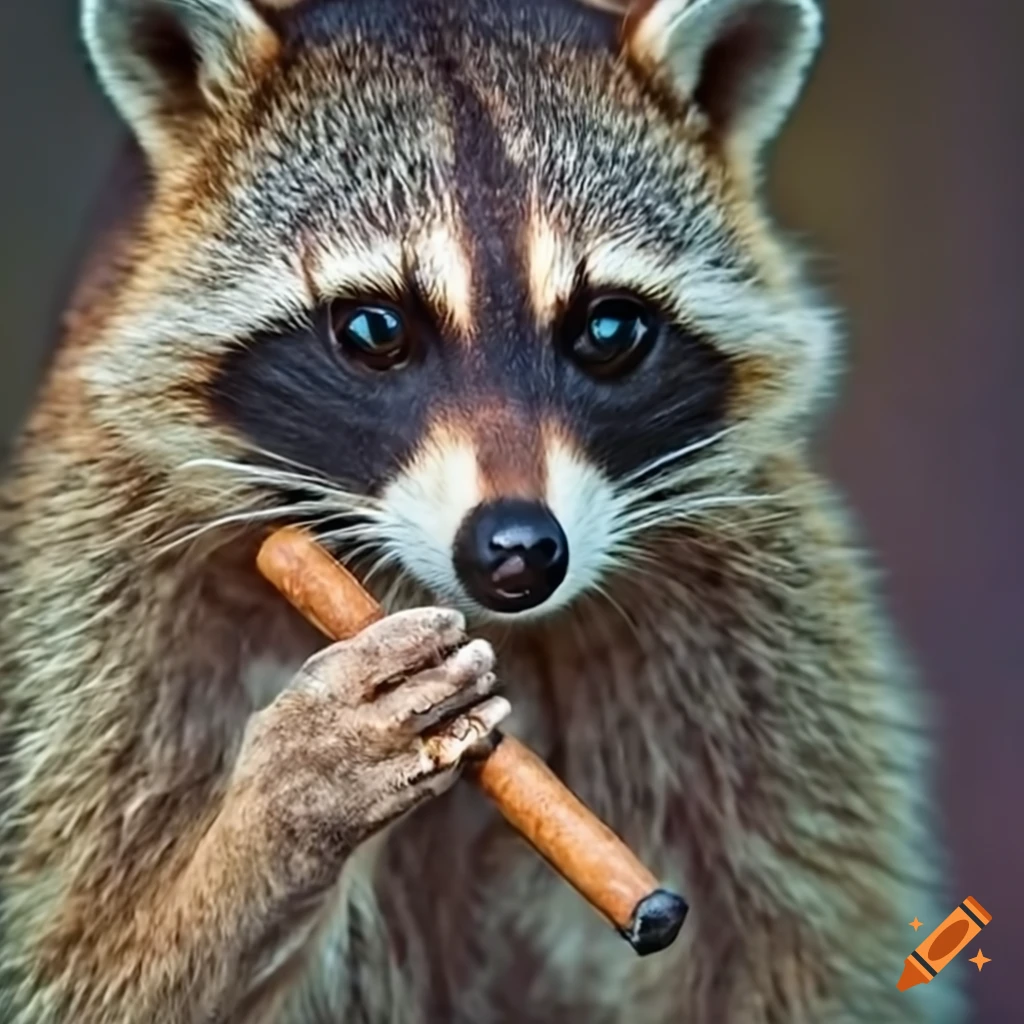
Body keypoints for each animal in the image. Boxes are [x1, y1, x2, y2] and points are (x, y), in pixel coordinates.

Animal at [0, 0, 964, 1021]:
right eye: (375, 328)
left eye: (608, 328)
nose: (517, 550)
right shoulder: (104, 620)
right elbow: (81, 965)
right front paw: (278, 817)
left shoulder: (765, 646)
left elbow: (808, 956)